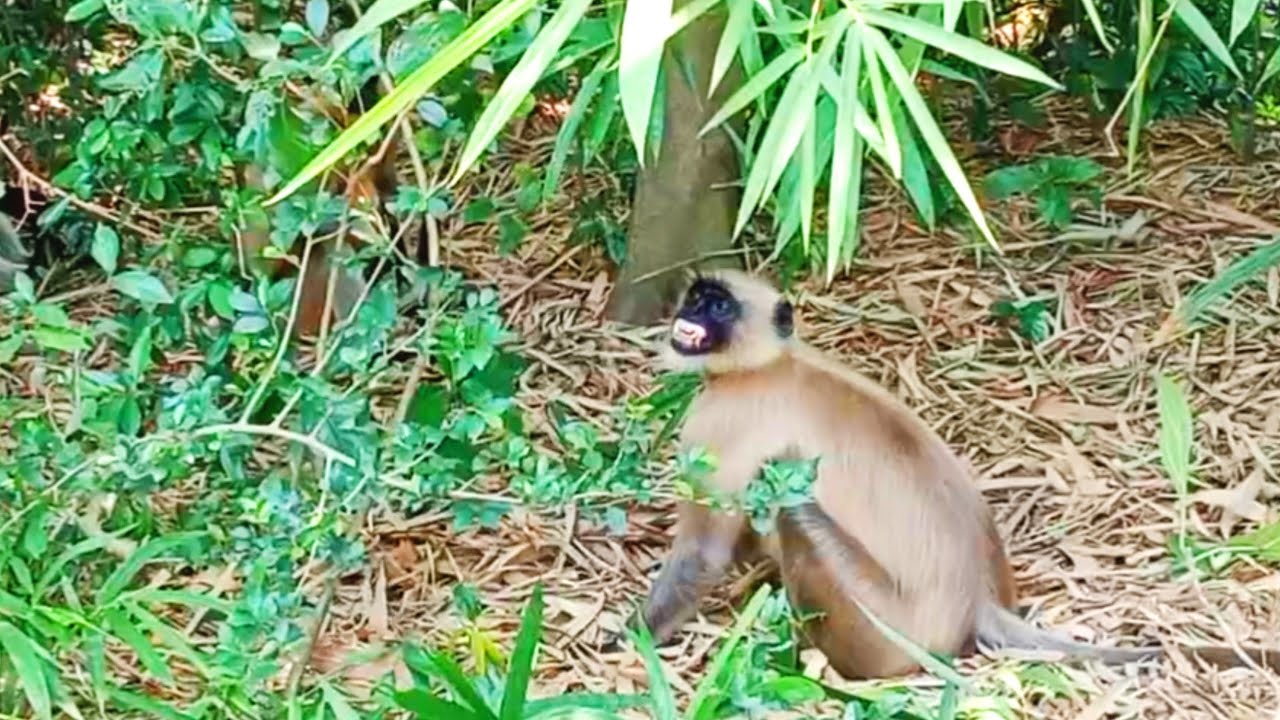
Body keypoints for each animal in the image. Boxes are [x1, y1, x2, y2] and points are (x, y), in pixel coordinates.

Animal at [634, 268, 1277, 679]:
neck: (771, 363)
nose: (689, 313)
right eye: (696, 298)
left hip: (888, 628)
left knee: (790, 504)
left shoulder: (720, 421)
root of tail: (976, 603)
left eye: (719, 307)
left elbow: (702, 555)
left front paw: (631, 639)